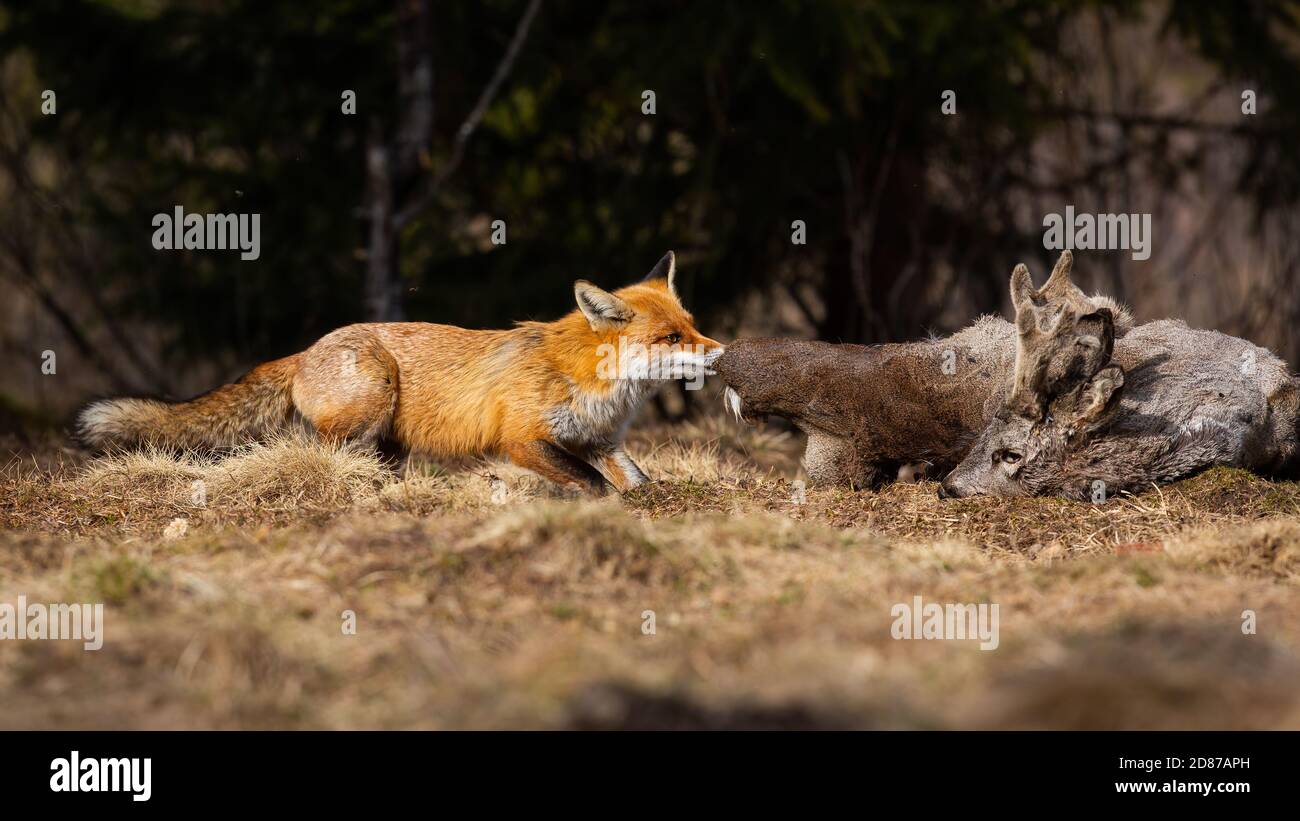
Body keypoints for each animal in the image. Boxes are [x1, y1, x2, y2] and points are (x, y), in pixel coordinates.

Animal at [75, 251, 725, 494]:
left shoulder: (600, 440)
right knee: (321, 454)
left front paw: (658, 504)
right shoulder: (521, 438)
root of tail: (305, 350)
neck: (599, 387)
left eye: (691, 326)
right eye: (670, 339)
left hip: (389, 439)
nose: (720, 352)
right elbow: (591, 483)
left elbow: (638, 480)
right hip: (371, 399)